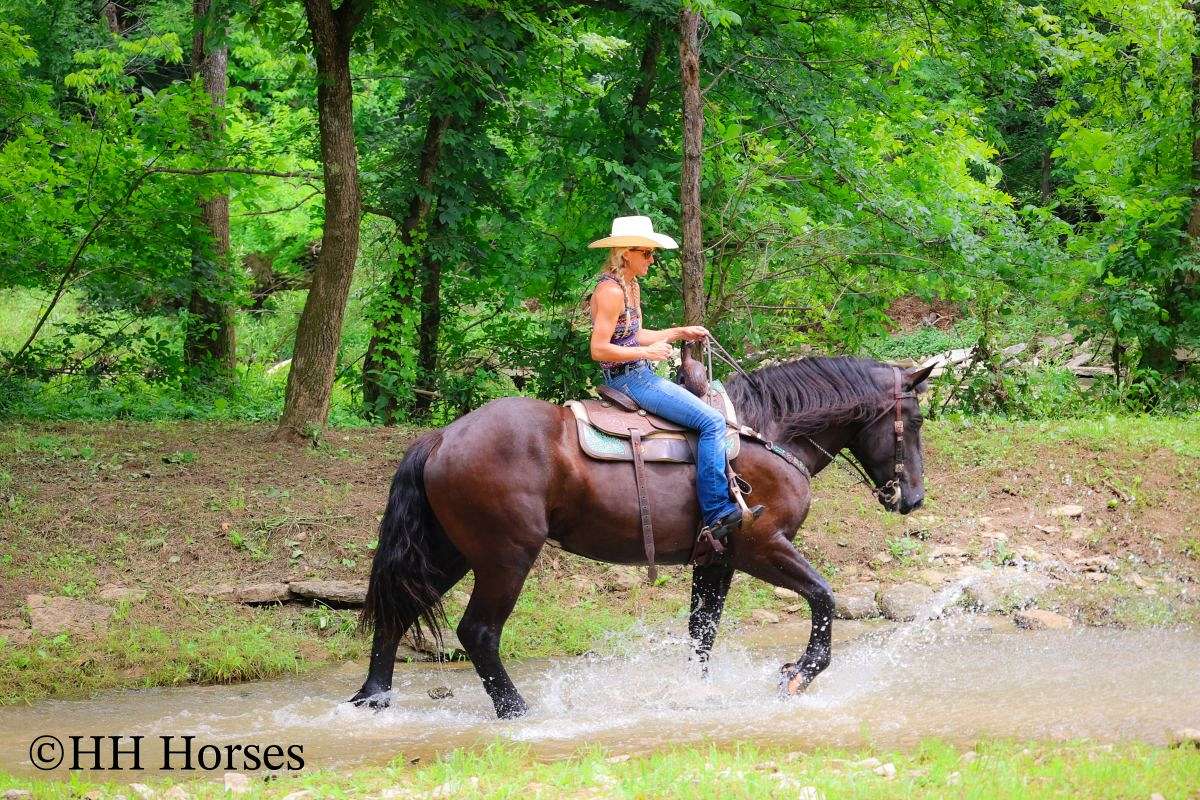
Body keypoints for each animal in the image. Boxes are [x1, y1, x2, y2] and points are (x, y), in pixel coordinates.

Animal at [350, 355, 934, 718]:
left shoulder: (716, 560)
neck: (768, 434)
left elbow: (702, 633)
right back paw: (516, 710)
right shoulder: (763, 547)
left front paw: (693, 692)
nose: (912, 498)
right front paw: (799, 673)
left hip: (452, 551)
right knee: (478, 632)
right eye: (915, 419)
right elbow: (823, 595)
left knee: (399, 609)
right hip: (505, 557)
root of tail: (443, 436)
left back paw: (373, 698)